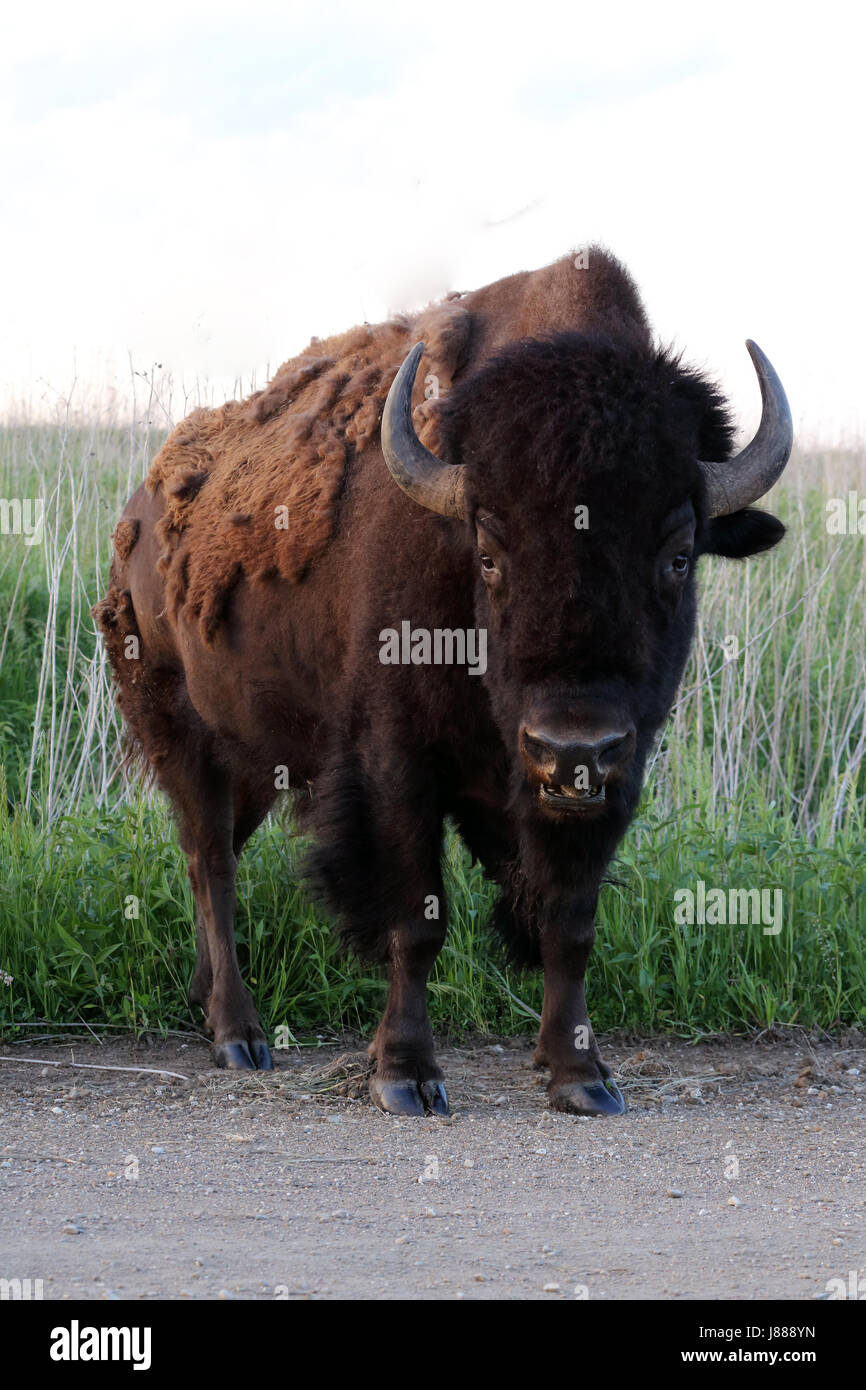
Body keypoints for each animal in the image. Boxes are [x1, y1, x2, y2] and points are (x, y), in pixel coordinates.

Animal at [95, 246, 792, 1116]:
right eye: (489, 554)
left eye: (678, 555)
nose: (571, 748)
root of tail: (144, 510)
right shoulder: (397, 766)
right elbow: (417, 921)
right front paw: (405, 1077)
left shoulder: (613, 777)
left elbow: (570, 920)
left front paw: (581, 1078)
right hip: (174, 724)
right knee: (211, 861)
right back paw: (238, 1035)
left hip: (252, 752)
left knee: (217, 851)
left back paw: (202, 1000)